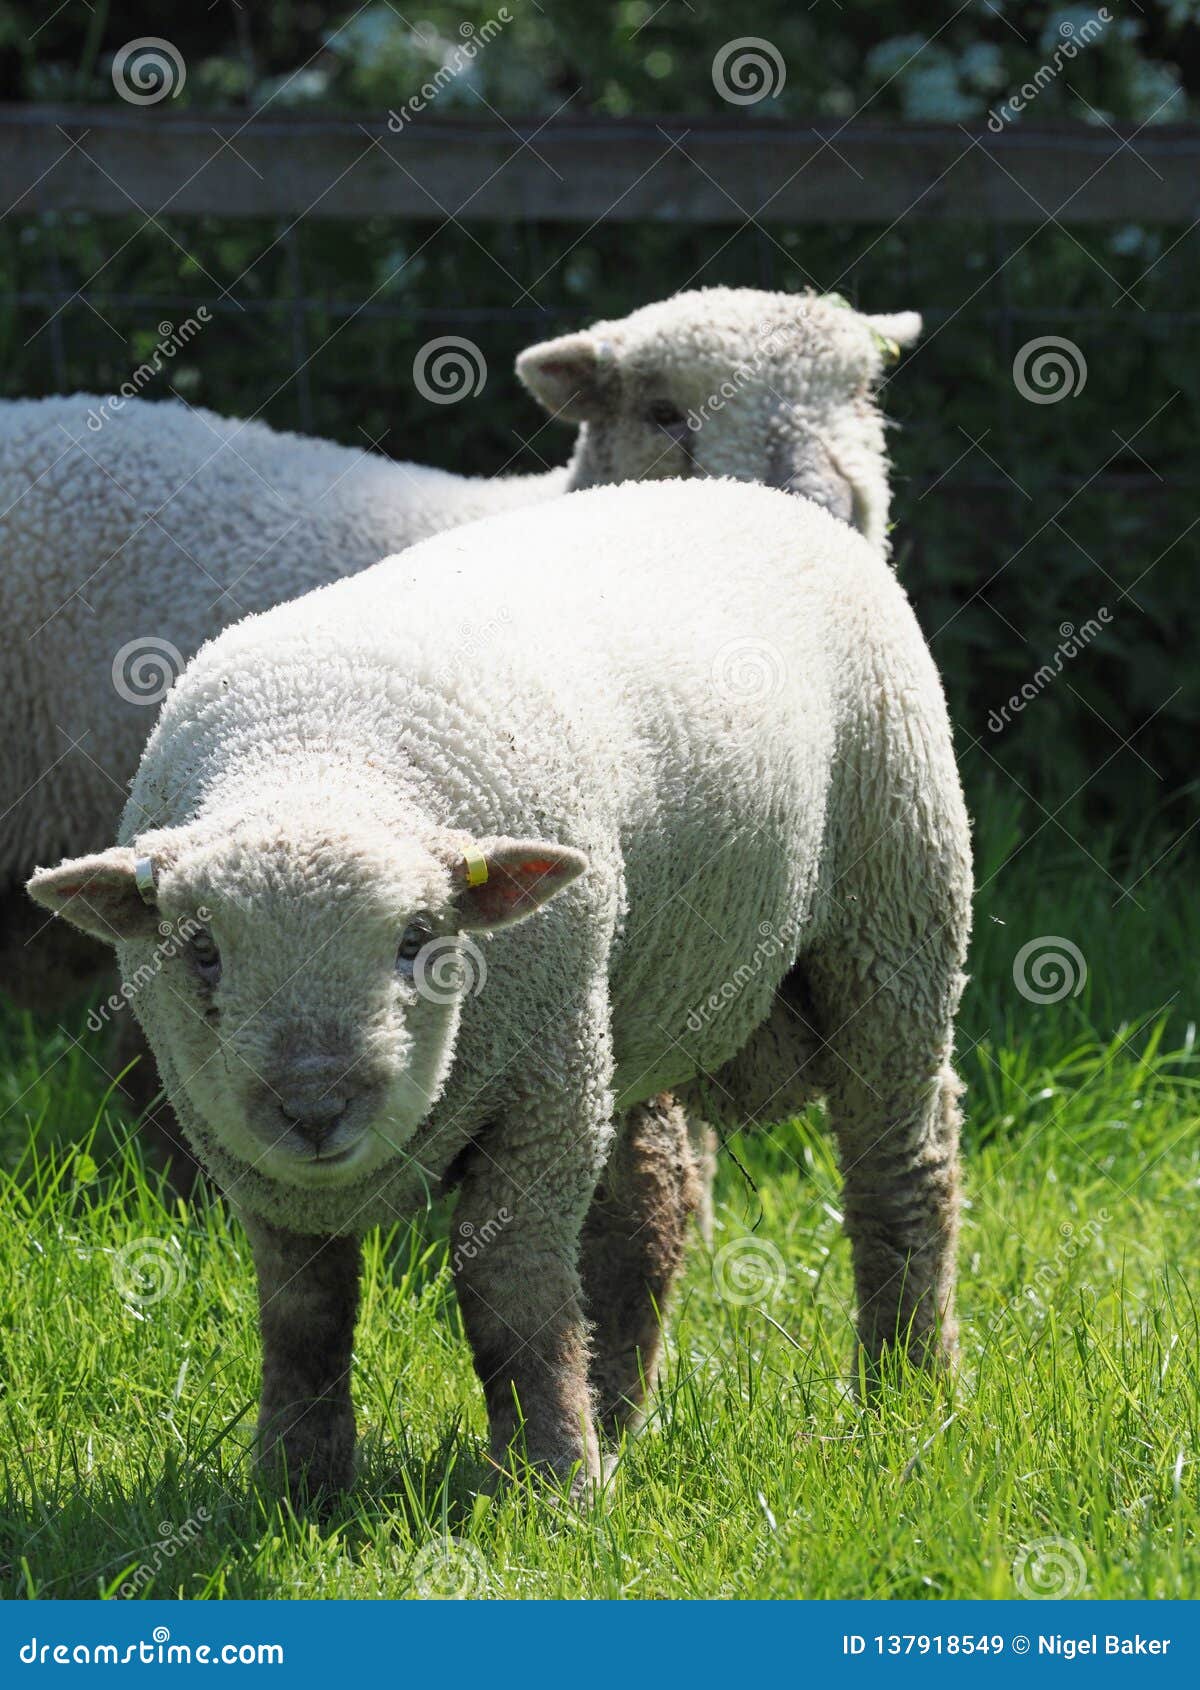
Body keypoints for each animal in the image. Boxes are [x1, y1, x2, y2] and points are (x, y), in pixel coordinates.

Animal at [28, 476, 971, 1498]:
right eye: (201, 950)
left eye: (417, 940)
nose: (316, 1108)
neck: (321, 757)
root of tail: (738, 488)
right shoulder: (253, 1160)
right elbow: (304, 1309)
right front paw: (298, 1483)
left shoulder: (538, 1090)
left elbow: (509, 1290)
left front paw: (550, 1484)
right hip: (622, 999)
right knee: (650, 1204)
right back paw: (619, 1411)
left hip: (894, 915)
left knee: (901, 1168)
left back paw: (906, 1388)